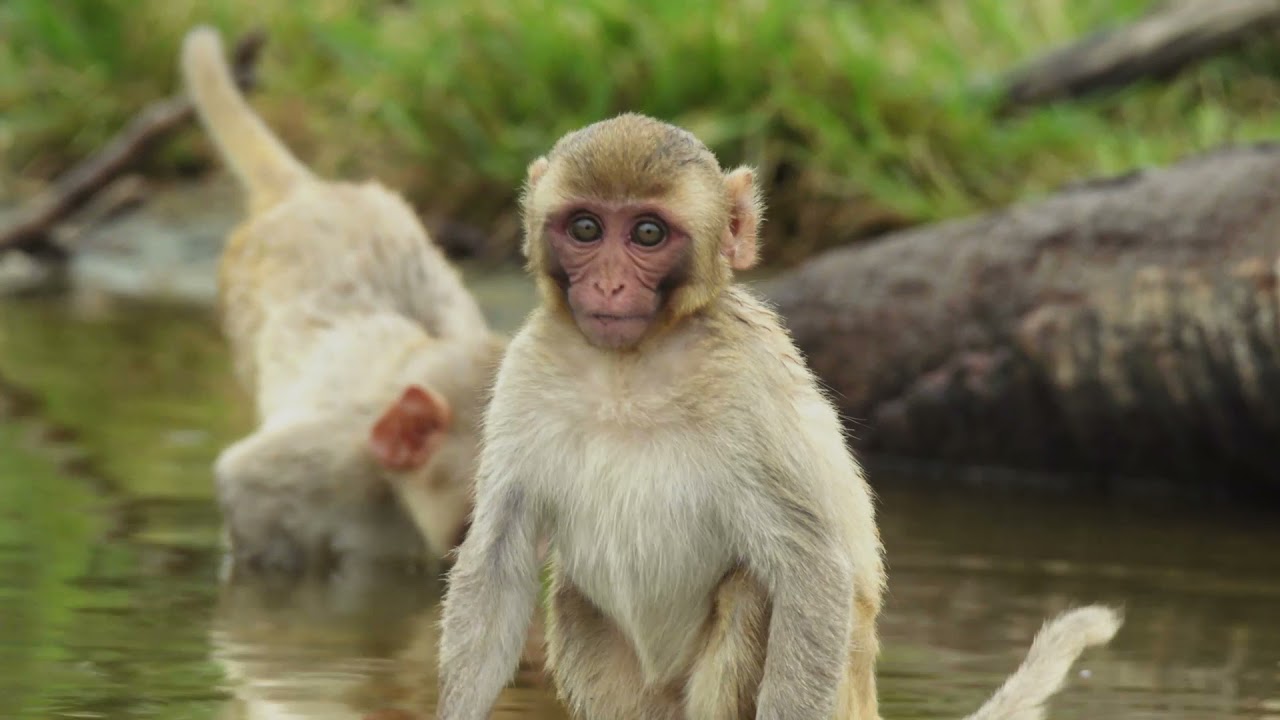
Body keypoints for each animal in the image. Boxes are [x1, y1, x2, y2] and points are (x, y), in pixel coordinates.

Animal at [433, 113, 1120, 720]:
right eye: (584, 228)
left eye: (647, 234)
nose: (605, 286)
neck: (629, 369)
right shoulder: (525, 371)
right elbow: (497, 559)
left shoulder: (748, 389)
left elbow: (809, 568)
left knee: (752, 586)